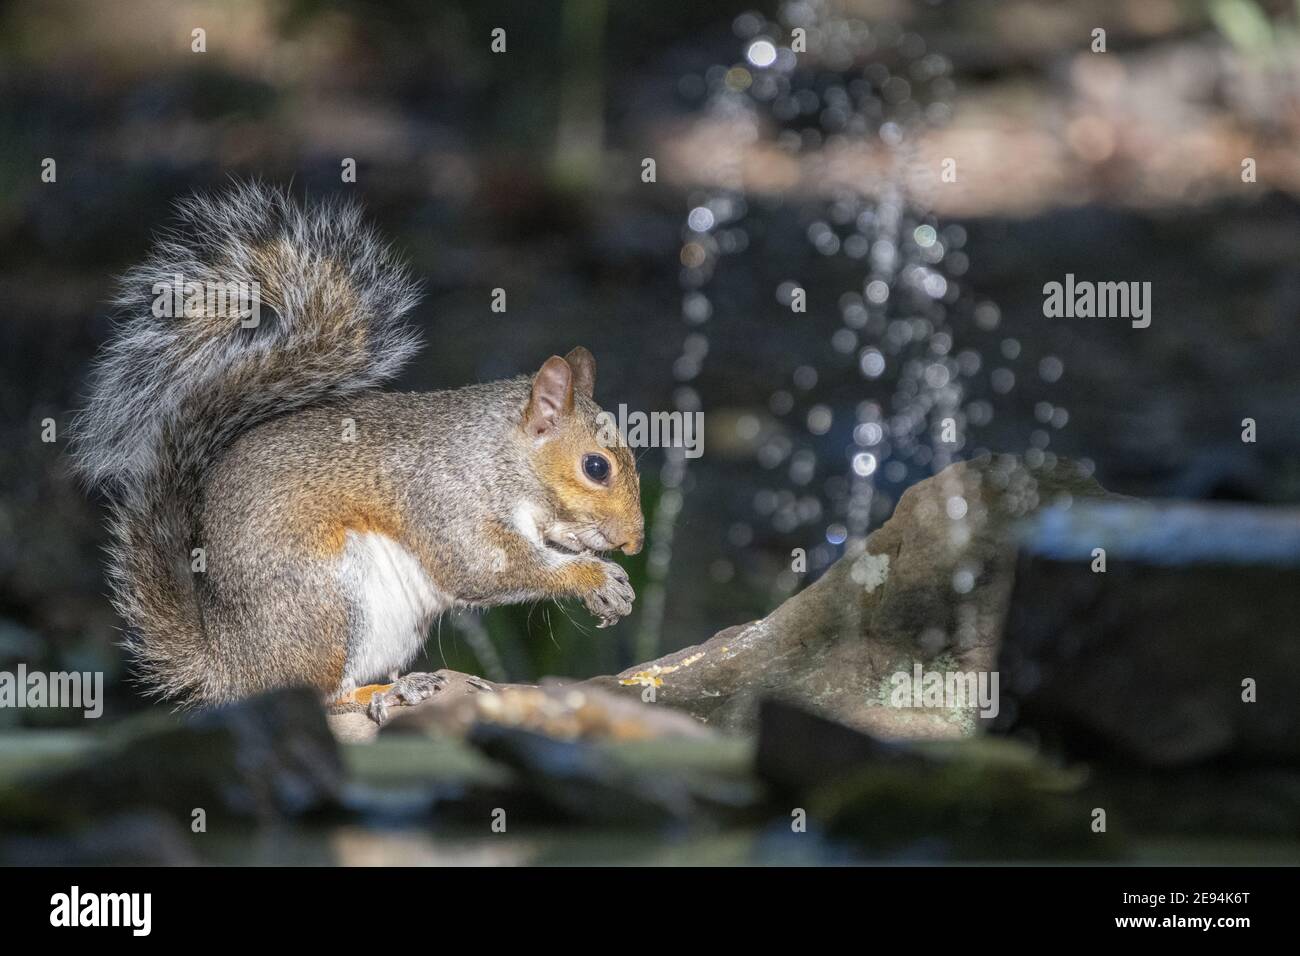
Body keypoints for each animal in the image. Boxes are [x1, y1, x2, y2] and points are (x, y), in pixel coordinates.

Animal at [72, 182, 644, 723]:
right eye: (596, 467)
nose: (635, 542)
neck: (498, 455)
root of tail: (229, 665)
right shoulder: (449, 499)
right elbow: (483, 566)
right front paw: (593, 576)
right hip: (326, 603)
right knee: (322, 694)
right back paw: (391, 691)